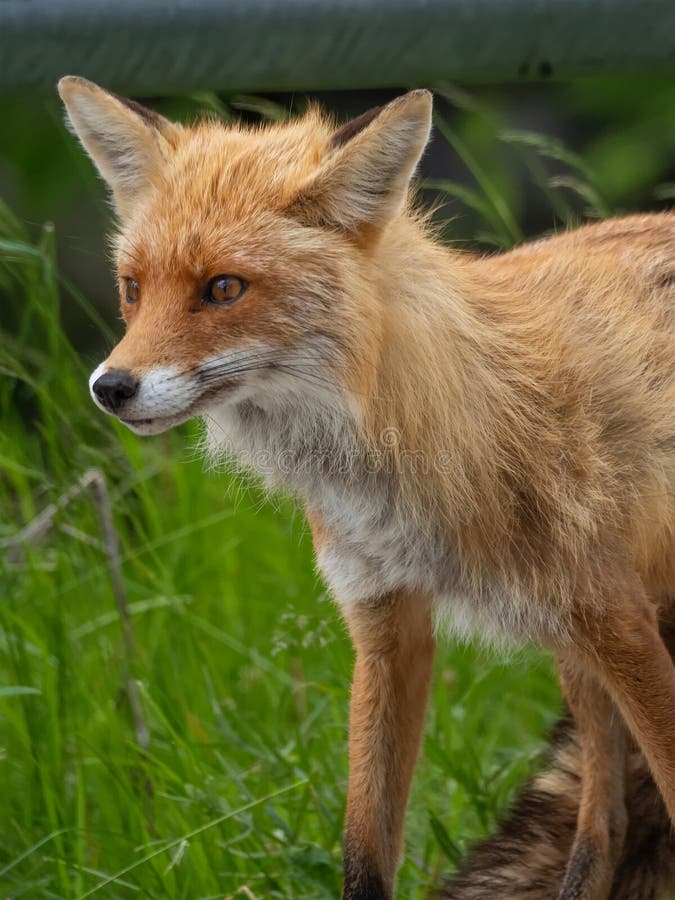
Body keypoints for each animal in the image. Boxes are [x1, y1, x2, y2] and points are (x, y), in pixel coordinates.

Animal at [58, 76, 675, 900]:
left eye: (223, 288)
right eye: (132, 289)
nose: (110, 388)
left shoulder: (613, 615)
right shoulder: (383, 617)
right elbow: (363, 850)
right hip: (567, 646)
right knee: (602, 827)